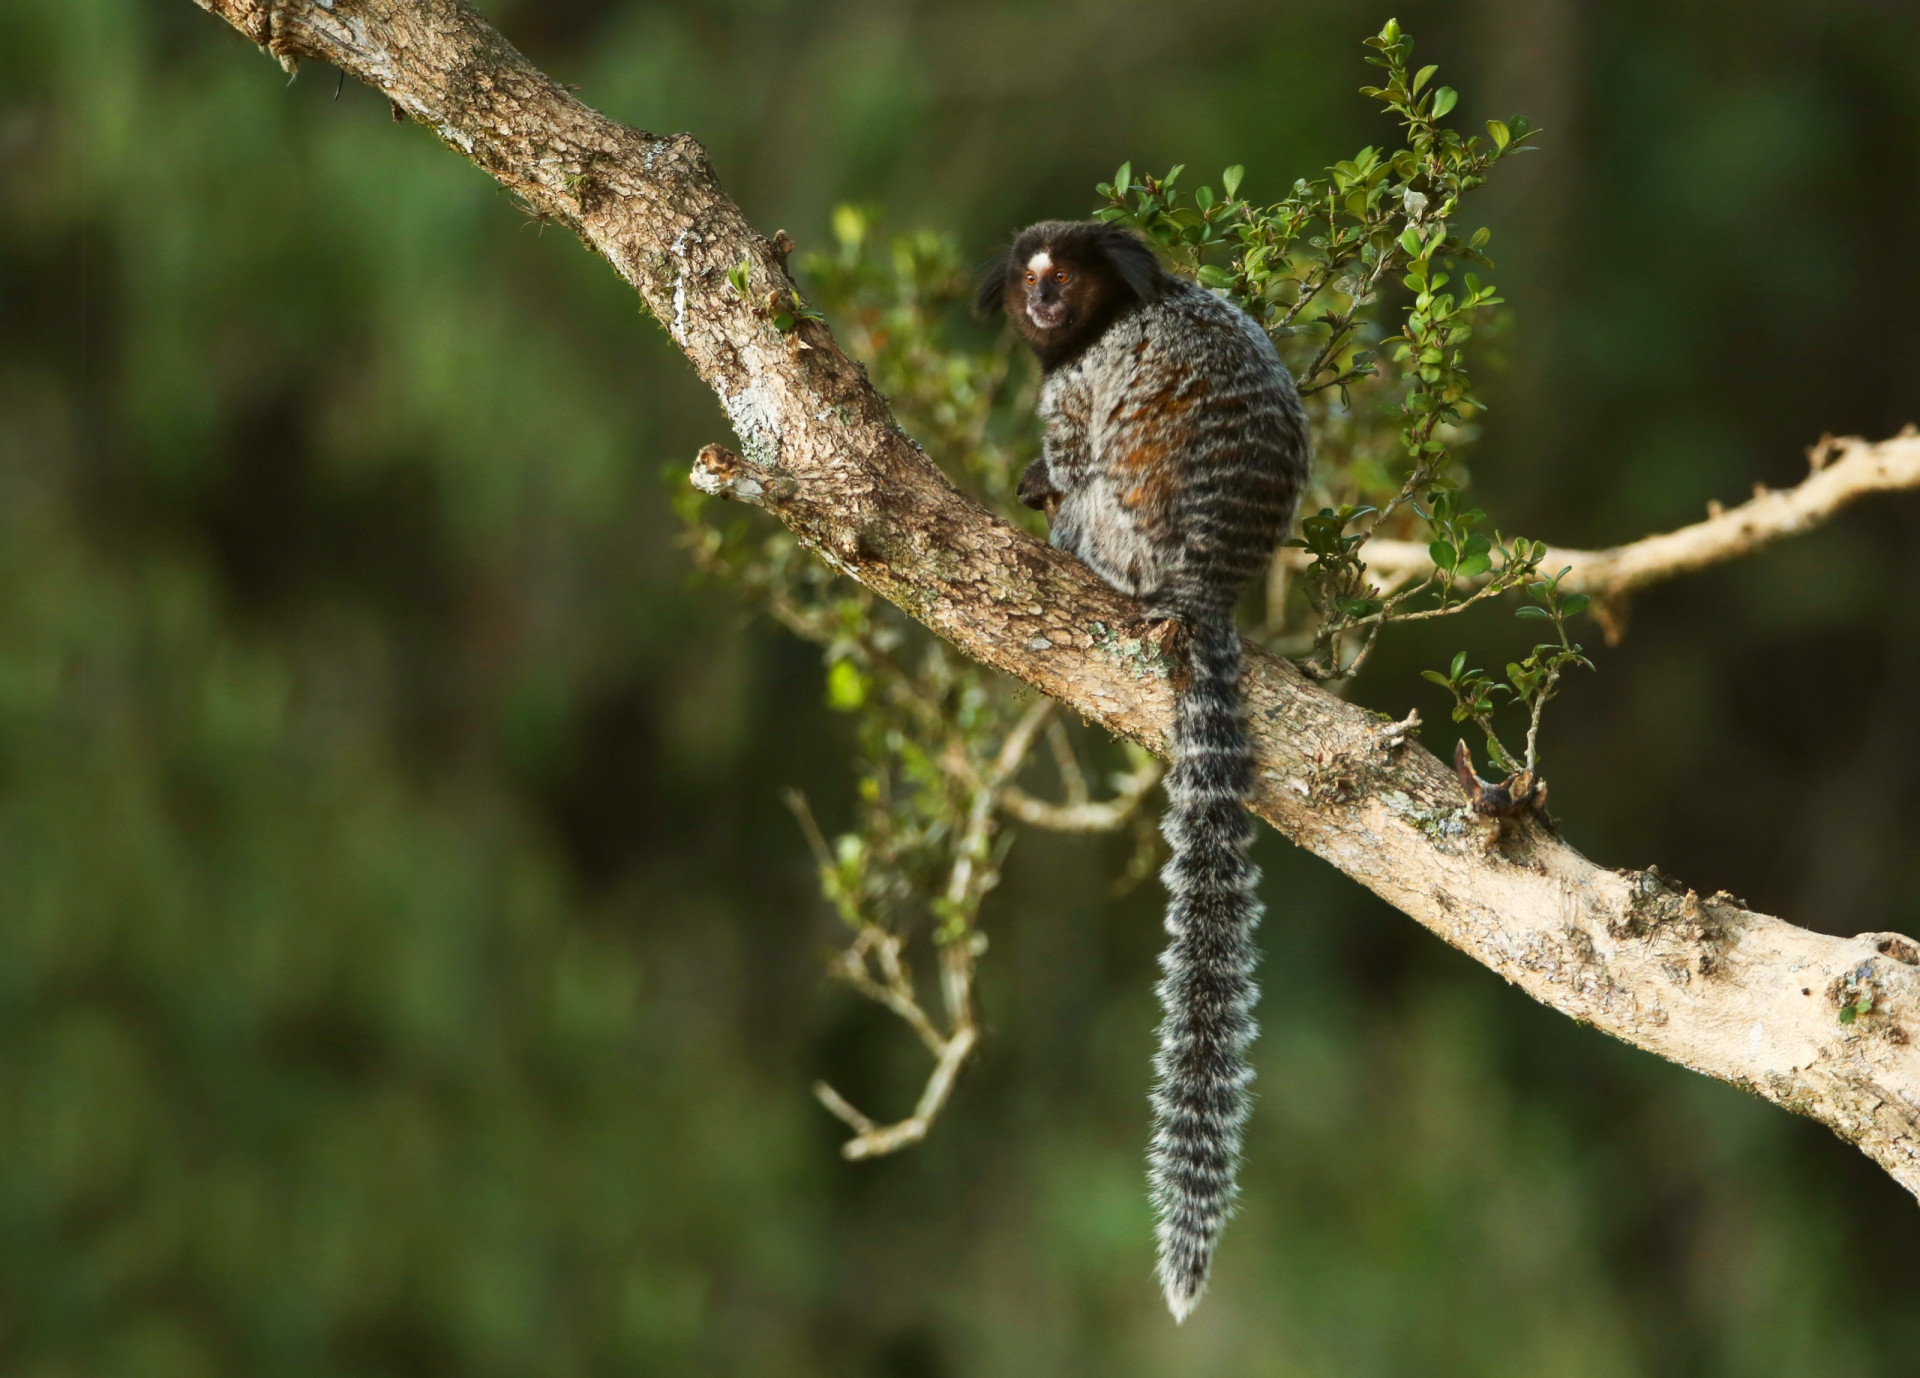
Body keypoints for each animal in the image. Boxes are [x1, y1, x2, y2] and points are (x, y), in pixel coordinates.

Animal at [979, 220, 1309, 1321]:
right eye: (1028, 283)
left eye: (1062, 282)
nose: (1042, 307)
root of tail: (1204, 589)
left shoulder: (1080, 383)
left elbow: (1074, 442)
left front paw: (1040, 476)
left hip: (1122, 544)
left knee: (1090, 504)